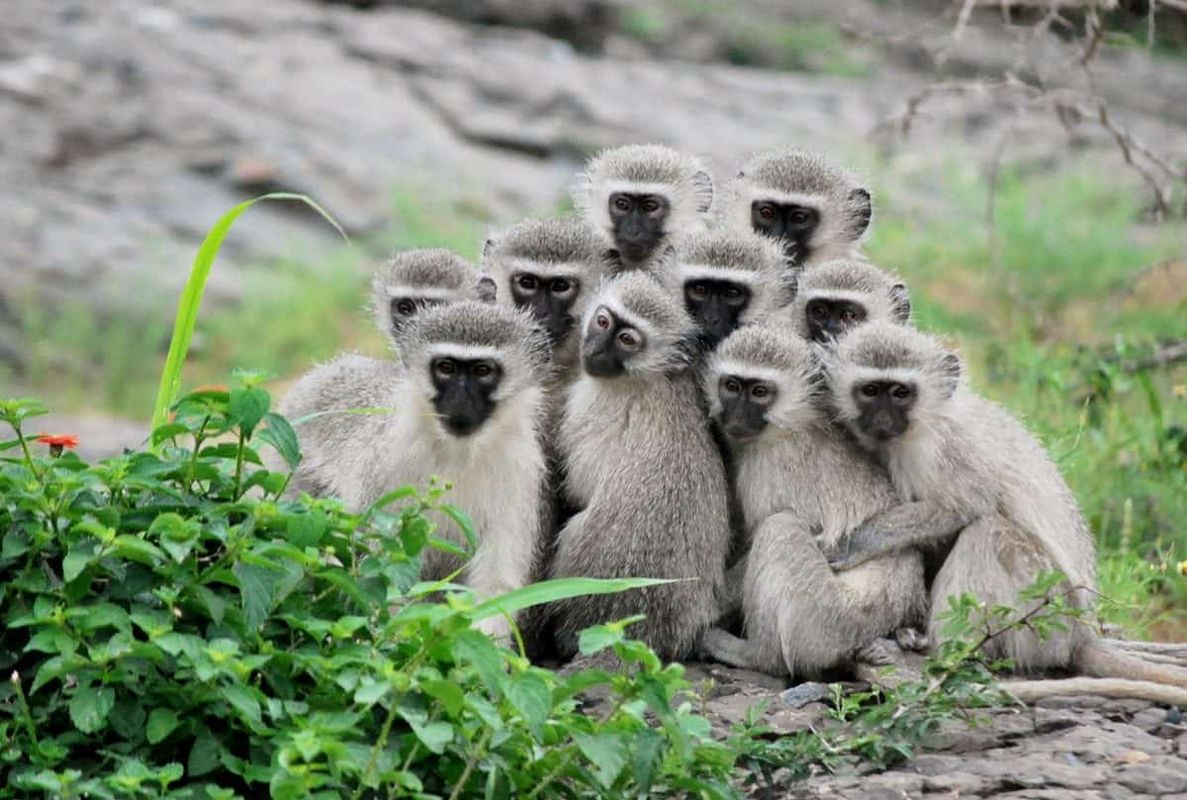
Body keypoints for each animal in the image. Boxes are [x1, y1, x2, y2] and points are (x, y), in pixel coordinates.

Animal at [278, 301, 551, 639]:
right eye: (446, 368)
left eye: (482, 371)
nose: (460, 402)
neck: (457, 451)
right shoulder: (389, 465)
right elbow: (382, 570)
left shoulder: (519, 473)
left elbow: (496, 584)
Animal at [546, 272, 732, 660]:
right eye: (603, 321)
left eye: (627, 340)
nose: (594, 351)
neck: (654, 377)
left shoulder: (591, 408)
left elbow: (581, 488)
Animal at [696, 320, 927, 679]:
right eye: (732, 386)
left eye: (760, 392)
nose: (735, 417)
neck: (788, 425)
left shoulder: (770, 470)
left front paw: (710, 602)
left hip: (826, 621)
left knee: (780, 528)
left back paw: (755, 655)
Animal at [822, 322, 1187, 699]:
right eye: (870, 390)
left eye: (900, 393)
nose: (881, 418)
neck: (922, 423)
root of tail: (1081, 637)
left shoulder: (944, 450)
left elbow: (965, 507)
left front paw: (856, 542)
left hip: (1045, 614)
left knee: (988, 532)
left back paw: (938, 655)